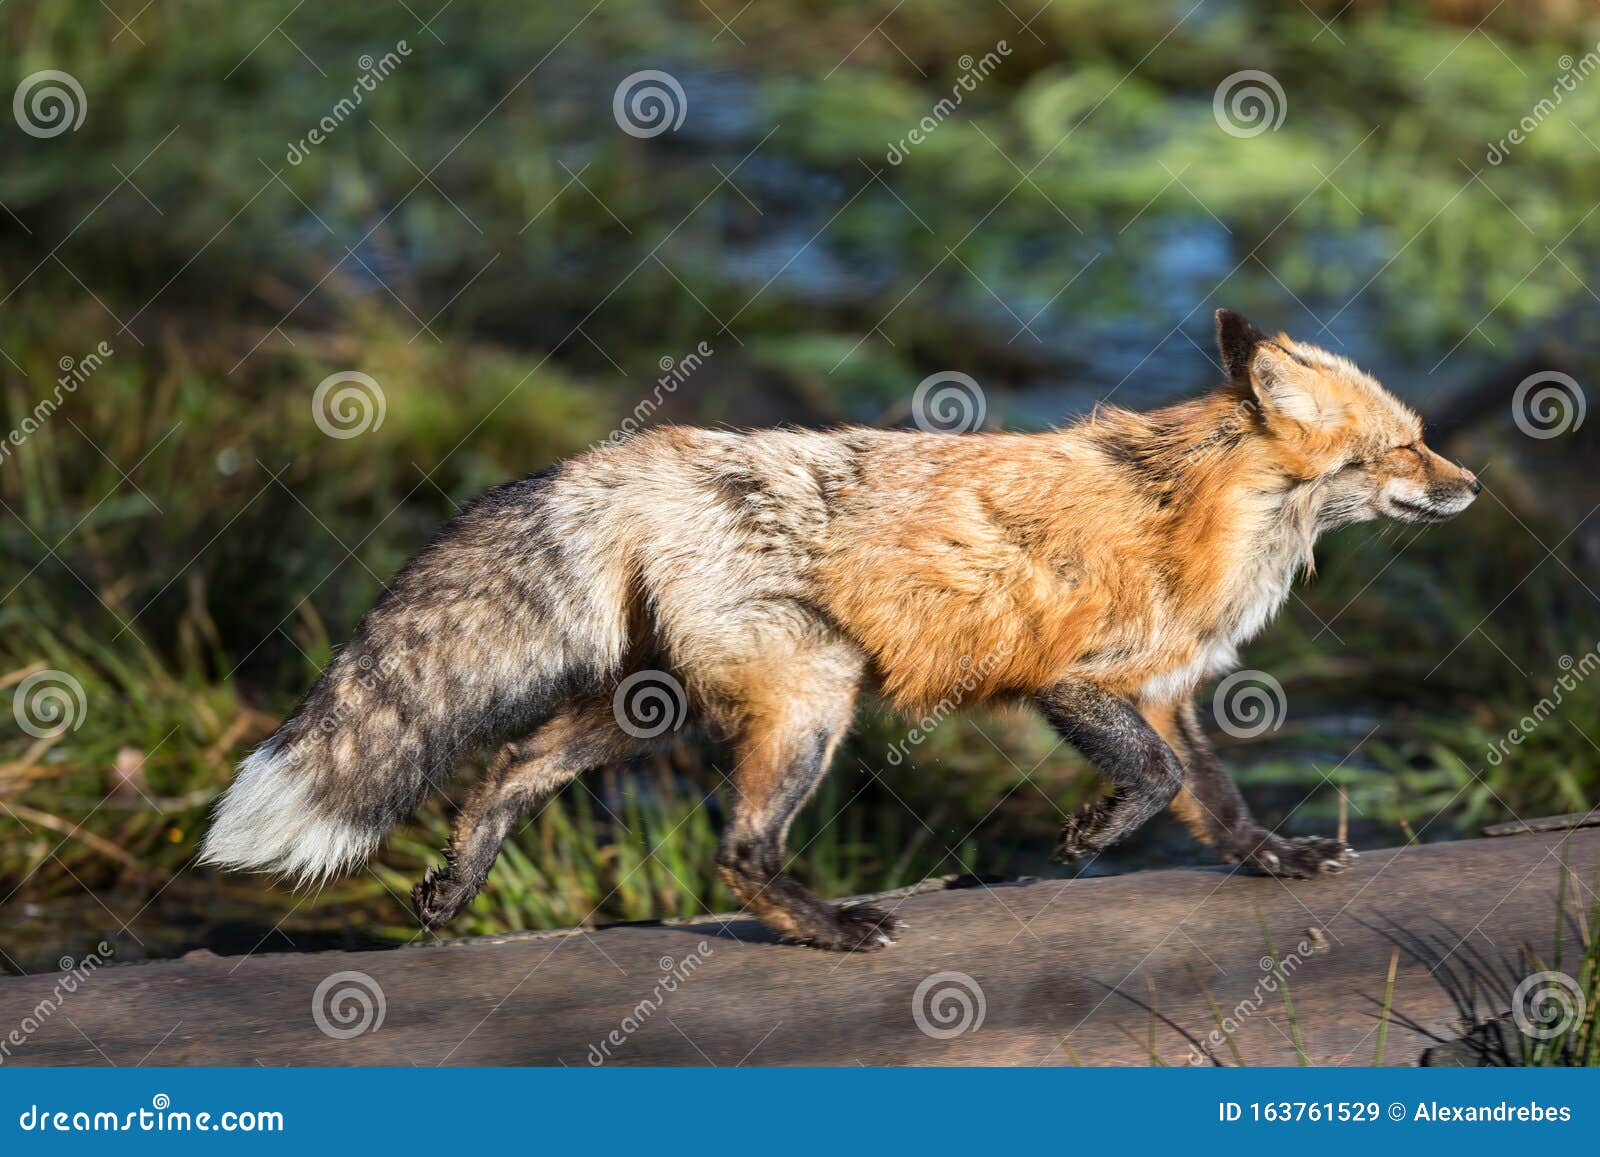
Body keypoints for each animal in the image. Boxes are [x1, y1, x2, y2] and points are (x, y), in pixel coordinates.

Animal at [201, 310, 1481, 951]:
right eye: (1407, 447)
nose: (1469, 486)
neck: (1207, 503)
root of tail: (631, 455)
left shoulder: (1164, 686)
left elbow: (1214, 799)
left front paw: (1271, 859)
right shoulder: (1076, 681)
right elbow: (1157, 778)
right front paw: (1091, 832)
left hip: (654, 701)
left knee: (508, 765)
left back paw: (455, 884)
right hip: (813, 691)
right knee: (735, 850)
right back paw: (823, 925)